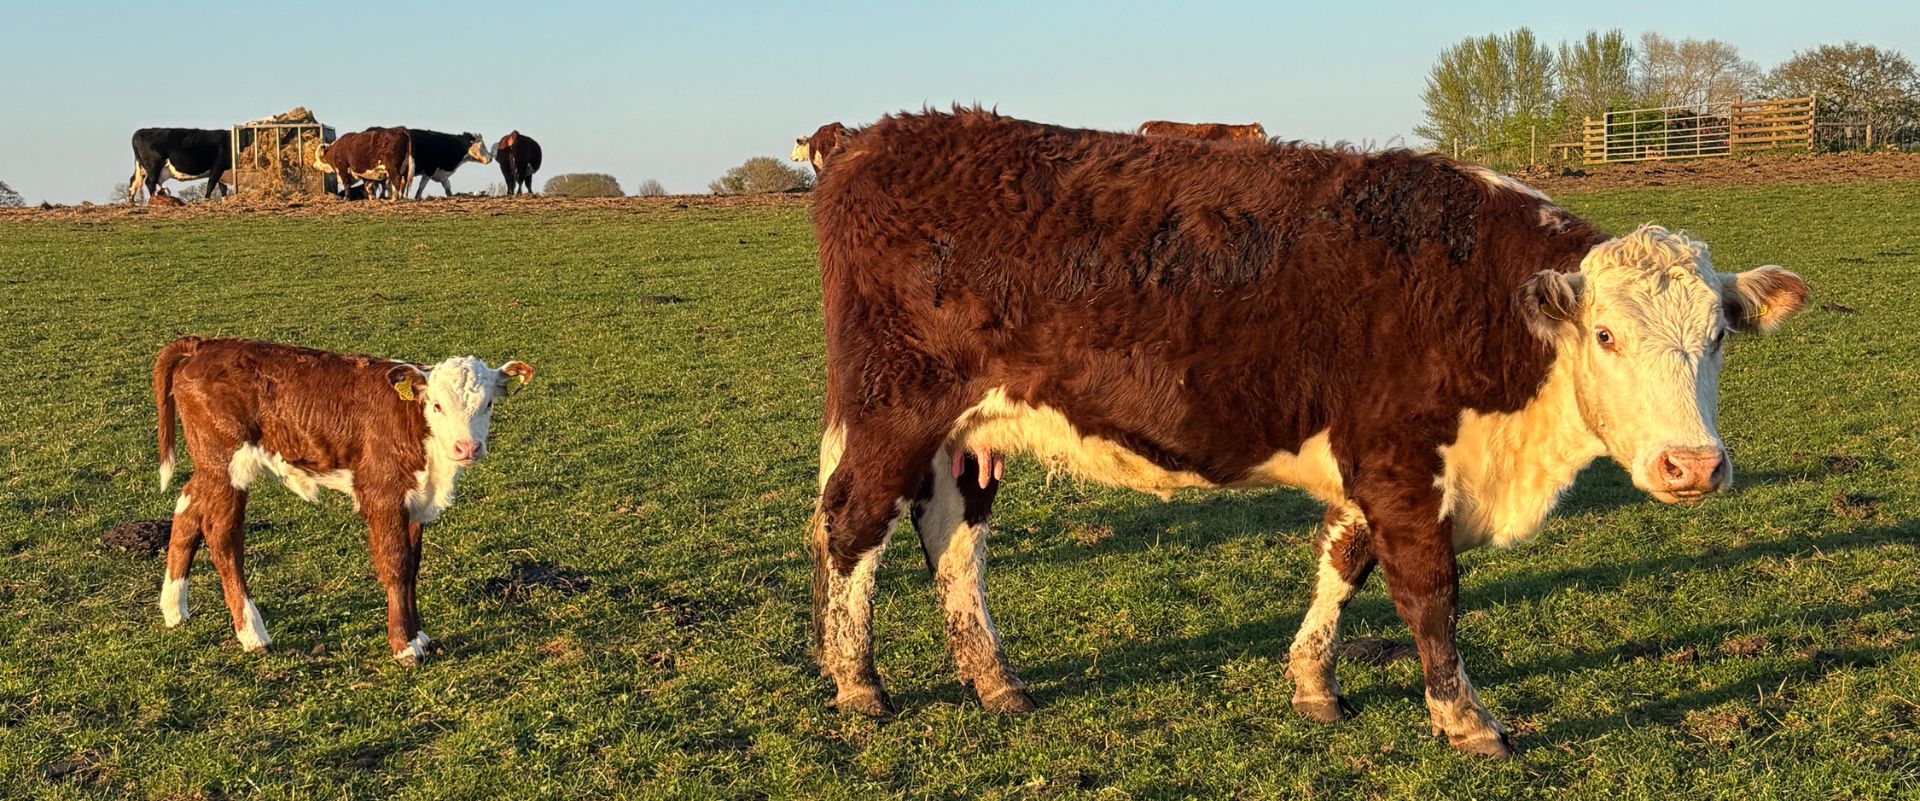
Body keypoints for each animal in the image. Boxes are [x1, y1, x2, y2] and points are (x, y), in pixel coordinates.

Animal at [152, 337, 534, 663]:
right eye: (437, 406)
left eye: (488, 404)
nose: (467, 448)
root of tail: (205, 344)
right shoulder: (382, 494)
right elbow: (396, 564)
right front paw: (403, 646)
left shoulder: (415, 500)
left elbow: (412, 565)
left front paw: (418, 635)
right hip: (225, 462)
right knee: (223, 537)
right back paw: (252, 634)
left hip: (209, 467)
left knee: (187, 511)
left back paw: (174, 610)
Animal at [805, 109, 1808, 758]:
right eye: (1605, 334)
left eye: (1719, 336)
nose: (1692, 465)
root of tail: (873, 138)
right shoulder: (1403, 461)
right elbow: (1429, 592)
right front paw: (1467, 720)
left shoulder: (1371, 466)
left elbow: (1344, 563)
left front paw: (1313, 682)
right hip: (896, 406)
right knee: (851, 522)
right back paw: (857, 681)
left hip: (965, 429)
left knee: (951, 537)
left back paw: (993, 679)